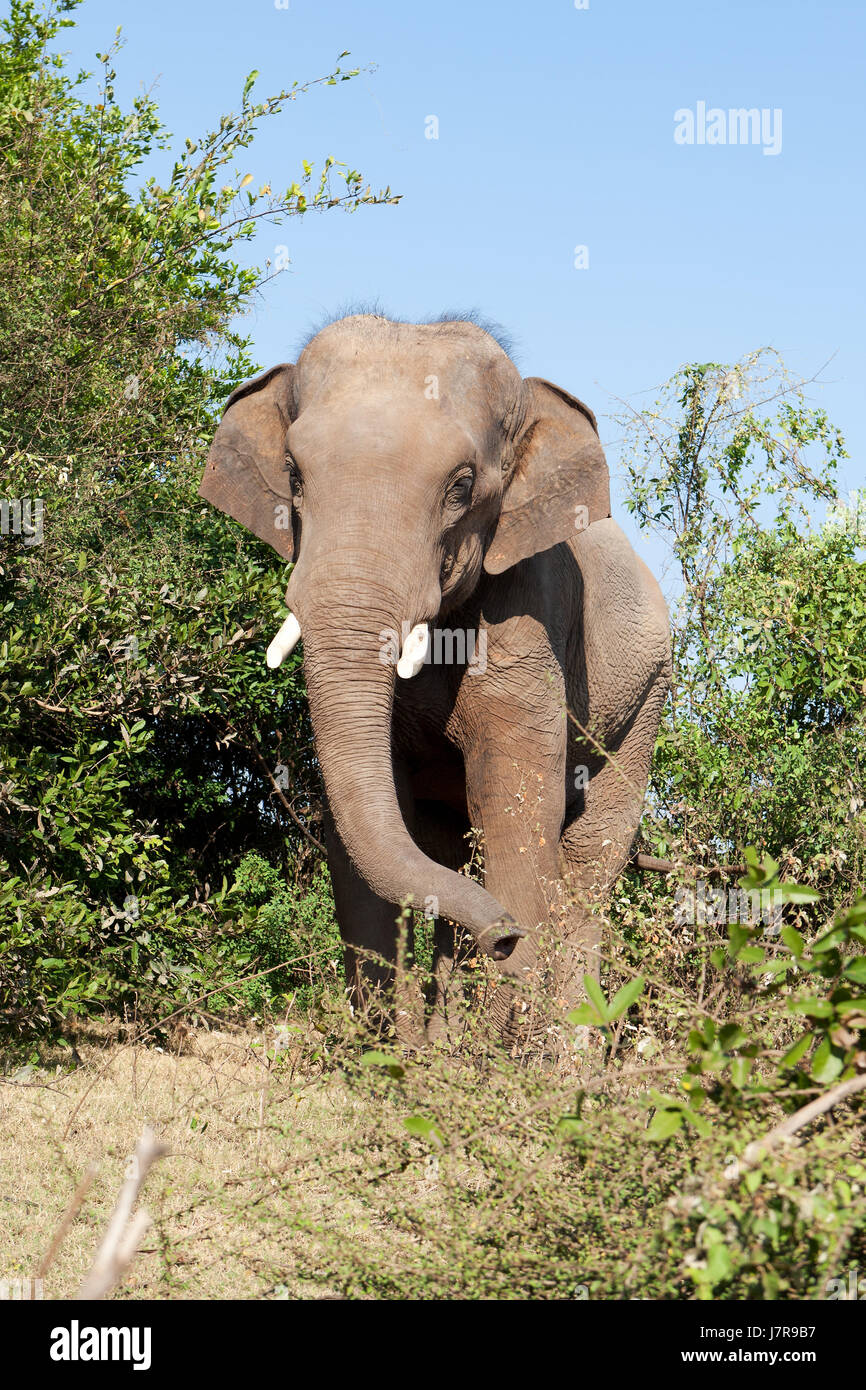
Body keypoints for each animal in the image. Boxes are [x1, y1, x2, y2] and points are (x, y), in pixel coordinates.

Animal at [200, 312, 670, 1042]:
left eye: (461, 486)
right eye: (295, 476)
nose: (503, 936)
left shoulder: (529, 612)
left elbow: (516, 812)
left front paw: (507, 1051)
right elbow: (362, 831)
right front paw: (390, 1055)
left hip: (645, 700)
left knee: (589, 863)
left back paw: (566, 1055)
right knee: (455, 848)